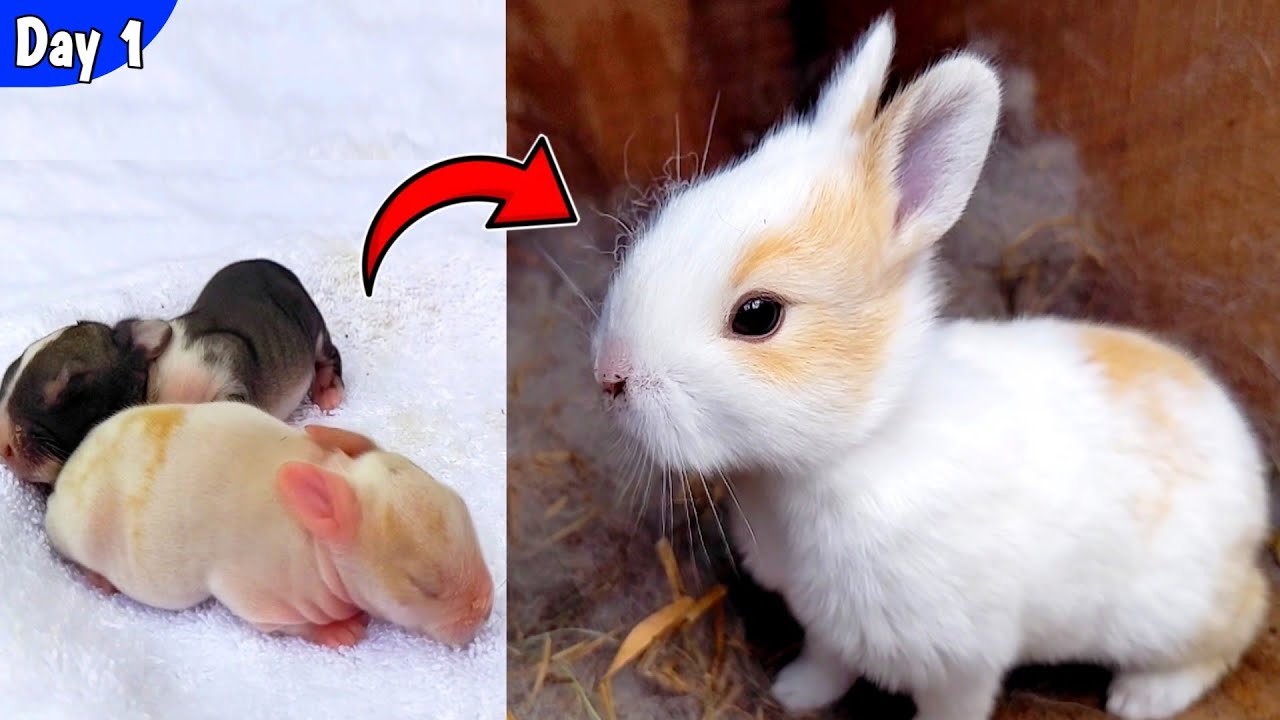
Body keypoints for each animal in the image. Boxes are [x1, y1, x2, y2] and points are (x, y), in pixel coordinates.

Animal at [45, 401, 494, 648]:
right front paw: (338, 631)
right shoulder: (261, 587)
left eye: (463, 506)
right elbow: (282, 622)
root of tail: (62, 486)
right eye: (424, 585)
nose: (487, 610)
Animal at [590, 14, 1270, 720]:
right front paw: (796, 693)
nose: (610, 375)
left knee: (1239, 624)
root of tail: (1251, 481)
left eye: (757, 316)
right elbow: (826, 660)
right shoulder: (828, 622)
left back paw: (1143, 697)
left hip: (1172, 615)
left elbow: (953, 702)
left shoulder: (960, 660)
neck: (851, 450)